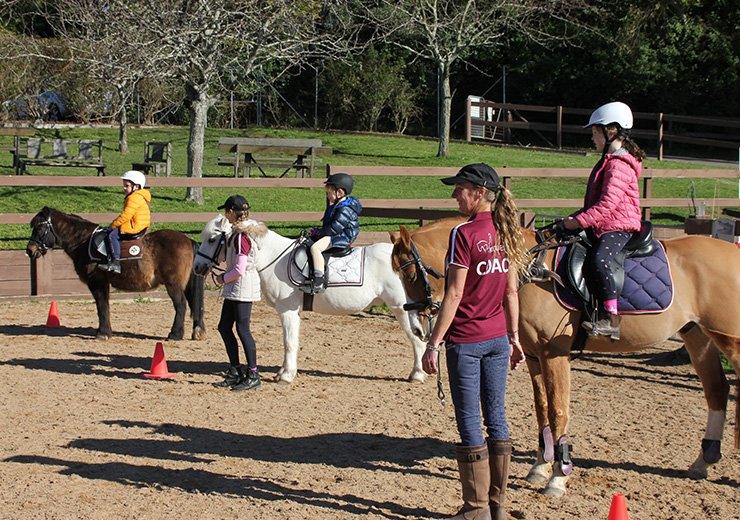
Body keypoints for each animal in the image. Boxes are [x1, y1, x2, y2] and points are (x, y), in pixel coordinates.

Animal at [25, 207, 206, 341]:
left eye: (40, 227)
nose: (29, 250)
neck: (84, 242)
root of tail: (188, 240)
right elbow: (104, 305)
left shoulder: (97, 282)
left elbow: (102, 306)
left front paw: (103, 333)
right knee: (194, 304)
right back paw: (197, 332)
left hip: (173, 284)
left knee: (181, 304)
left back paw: (175, 334)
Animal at [193, 214, 427, 383]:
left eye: (212, 239)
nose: (197, 267)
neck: (275, 257)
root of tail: (406, 260)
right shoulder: (293, 312)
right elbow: (292, 341)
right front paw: (285, 371)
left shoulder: (287, 310)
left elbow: (288, 342)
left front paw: (286, 376)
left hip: (401, 309)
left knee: (417, 340)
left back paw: (417, 374)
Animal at [389, 216, 739, 497]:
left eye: (410, 275)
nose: (418, 326)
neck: (529, 270)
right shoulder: (534, 356)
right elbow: (542, 410)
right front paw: (539, 468)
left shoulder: (554, 353)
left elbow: (558, 412)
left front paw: (557, 477)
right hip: (697, 335)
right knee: (717, 390)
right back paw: (702, 462)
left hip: (728, 340)